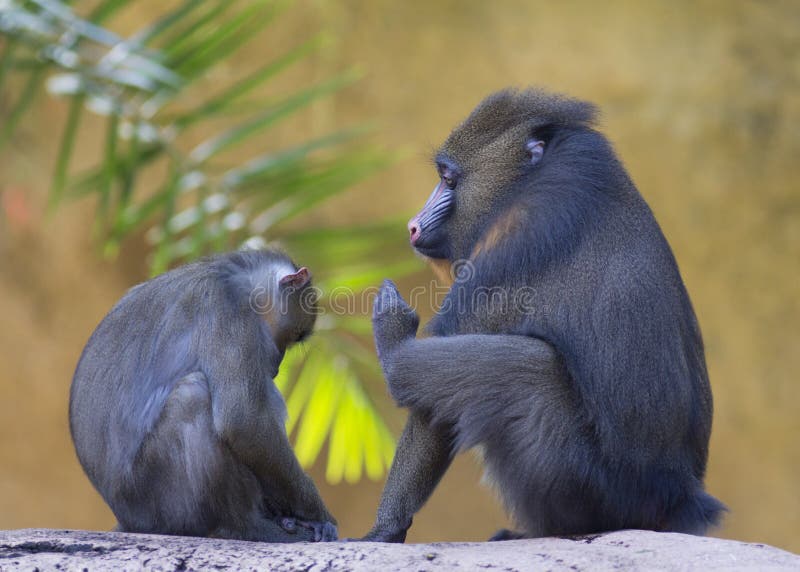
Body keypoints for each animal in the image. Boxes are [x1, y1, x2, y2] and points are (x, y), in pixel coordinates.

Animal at [69, 248, 337, 542]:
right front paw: (319, 515)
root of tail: (127, 518)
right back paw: (244, 527)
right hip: (159, 501)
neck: (236, 278)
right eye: (293, 336)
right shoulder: (229, 311)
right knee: (193, 395)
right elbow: (245, 422)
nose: (277, 364)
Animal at [362, 88, 725, 542]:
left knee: (528, 369)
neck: (527, 178)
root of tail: (678, 499)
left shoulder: (512, 235)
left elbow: (436, 408)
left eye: (448, 179)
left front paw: (385, 528)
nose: (413, 226)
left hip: (591, 488)